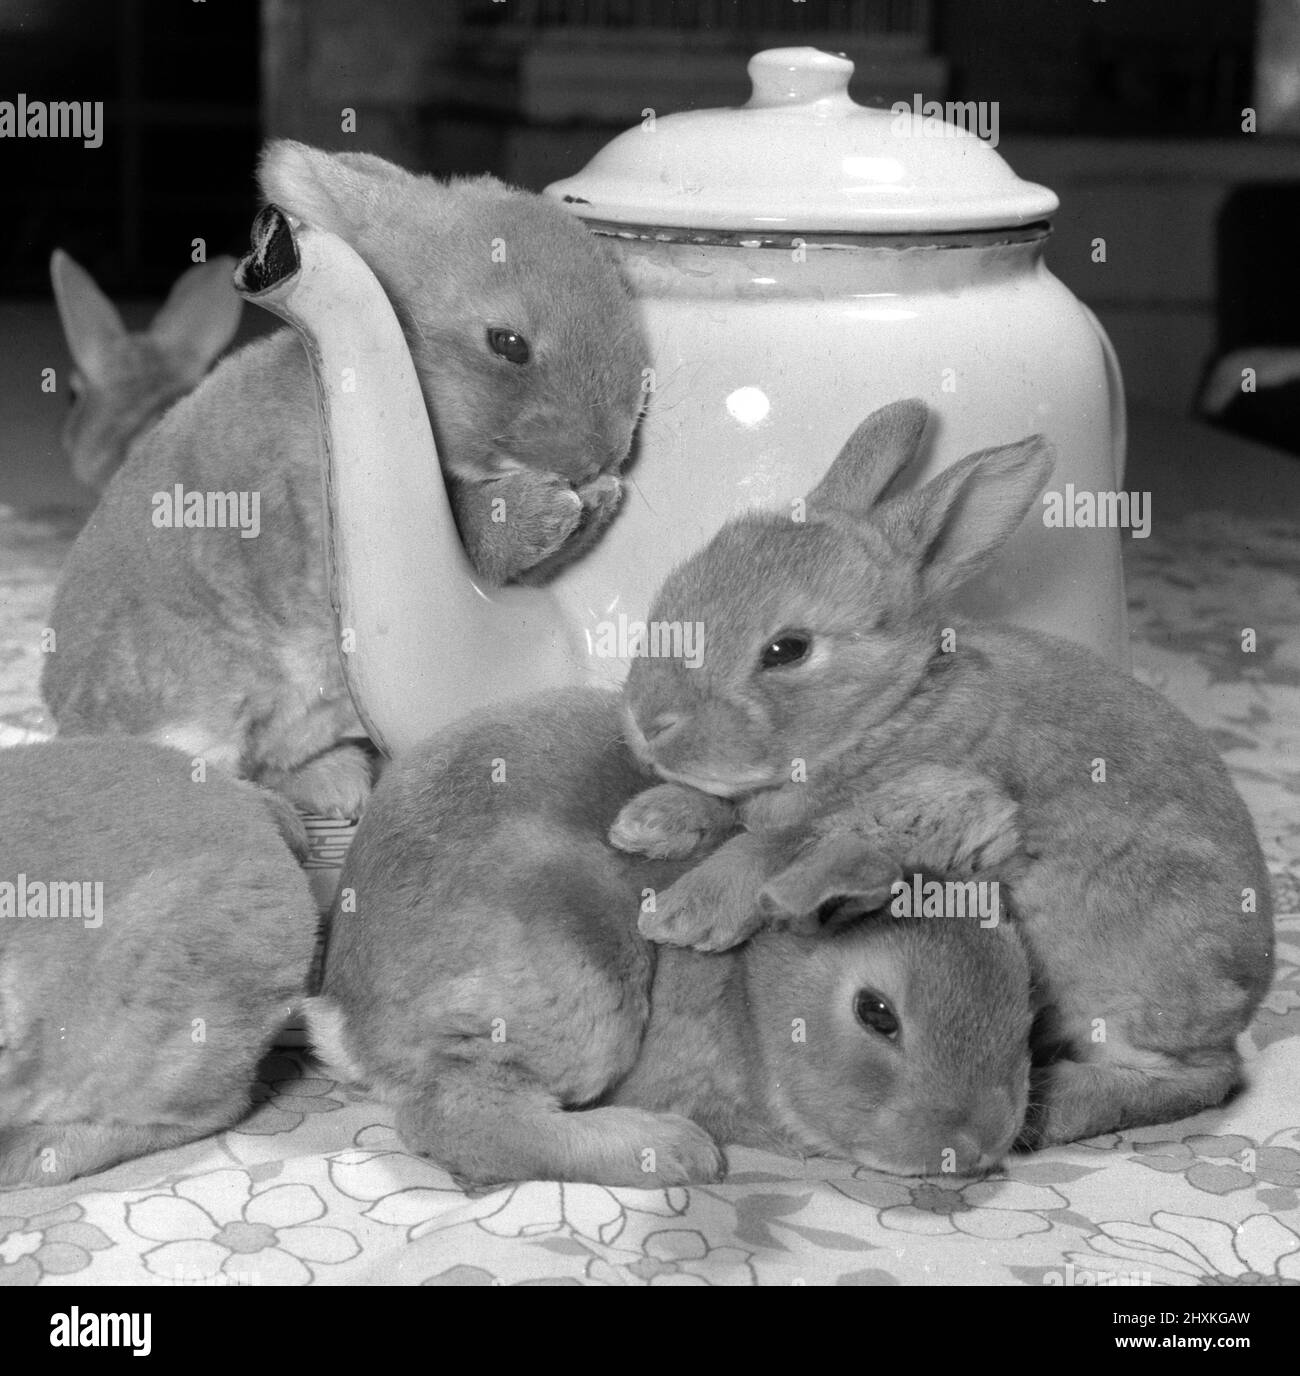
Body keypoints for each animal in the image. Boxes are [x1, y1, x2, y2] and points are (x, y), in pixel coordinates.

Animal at [308, 685, 1033, 1188]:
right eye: (876, 1013)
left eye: (1026, 999)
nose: (981, 1145)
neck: (751, 995)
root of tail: (347, 1018)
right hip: (582, 992)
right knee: (458, 1116)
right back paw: (673, 1151)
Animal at [608, 397, 1276, 1150]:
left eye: (787, 650)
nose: (647, 718)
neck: (890, 710)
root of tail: (1248, 989)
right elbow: (730, 810)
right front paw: (649, 822)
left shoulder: (916, 810)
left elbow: (776, 842)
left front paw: (685, 915)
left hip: (1123, 973)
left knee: (1199, 1079)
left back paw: (1052, 1102)